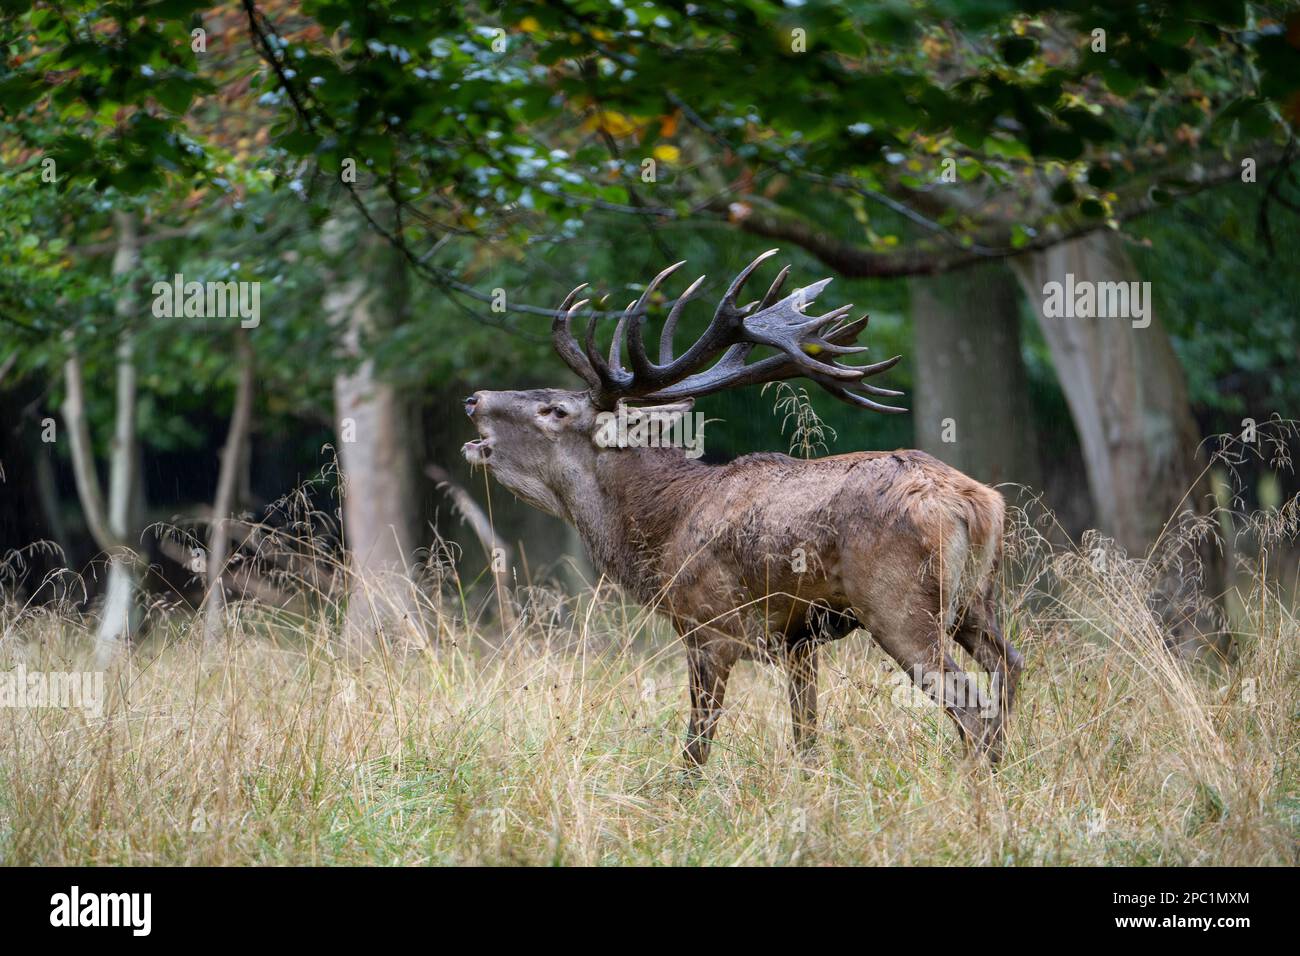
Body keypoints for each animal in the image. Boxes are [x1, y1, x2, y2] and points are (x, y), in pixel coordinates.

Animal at [462, 250, 1024, 768]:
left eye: (555, 409)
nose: (474, 398)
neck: (661, 531)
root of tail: (977, 503)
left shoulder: (710, 626)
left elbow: (696, 747)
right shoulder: (798, 642)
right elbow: (806, 738)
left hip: (898, 602)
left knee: (971, 706)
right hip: (977, 598)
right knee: (1009, 669)